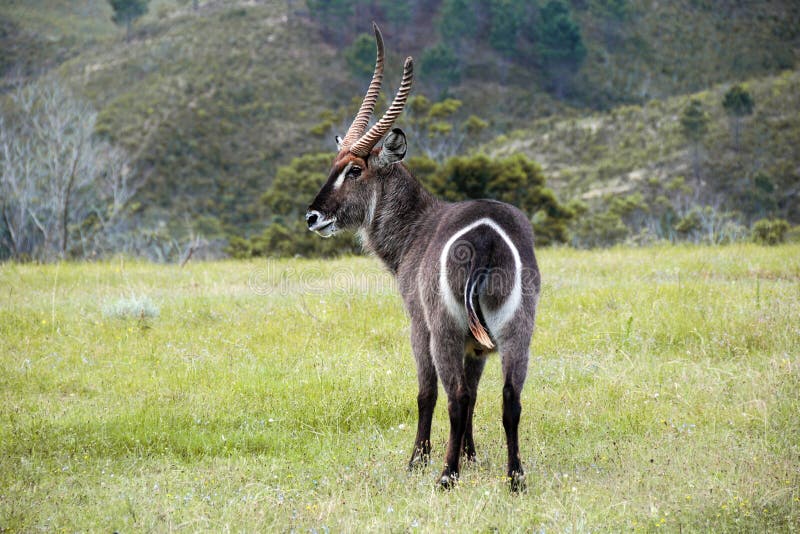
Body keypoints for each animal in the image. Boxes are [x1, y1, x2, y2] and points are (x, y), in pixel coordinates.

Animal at [305, 24, 540, 491]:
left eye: (354, 169)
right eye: (335, 164)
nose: (312, 216)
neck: (417, 227)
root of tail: (487, 236)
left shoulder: (418, 324)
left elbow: (428, 393)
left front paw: (420, 460)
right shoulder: (478, 347)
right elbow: (478, 396)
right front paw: (471, 456)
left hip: (445, 329)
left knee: (454, 396)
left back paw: (445, 476)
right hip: (516, 330)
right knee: (509, 398)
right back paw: (514, 479)